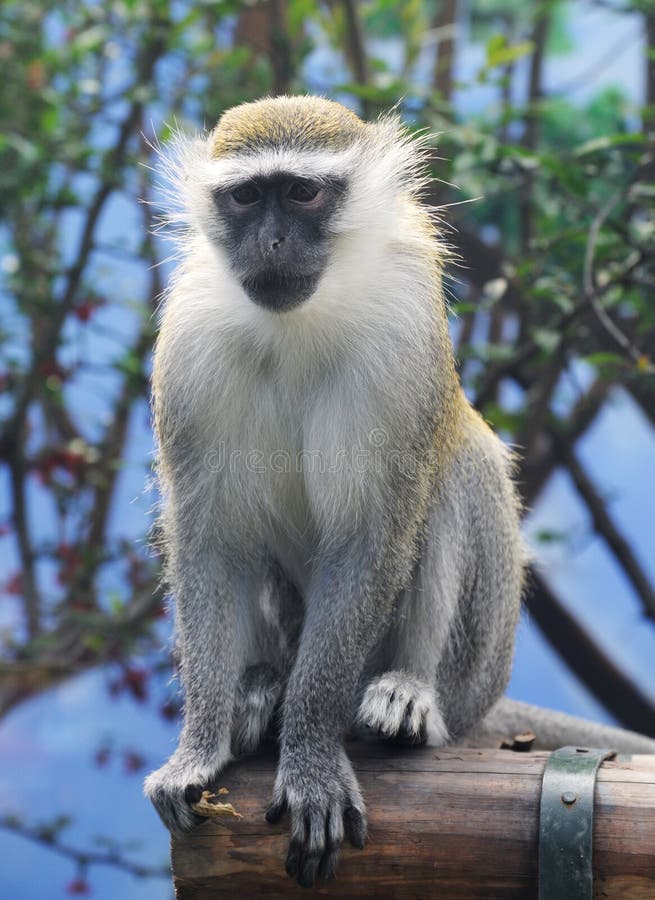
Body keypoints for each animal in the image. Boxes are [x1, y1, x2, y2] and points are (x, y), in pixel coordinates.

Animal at [143, 95, 655, 888]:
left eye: (302, 192)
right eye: (245, 197)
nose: (270, 241)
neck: (297, 325)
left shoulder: (405, 325)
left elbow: (373, 532)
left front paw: (312, 757)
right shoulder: (189, 345)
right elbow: (208, 542)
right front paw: (199, 746)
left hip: (475, 669)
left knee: (456, 469)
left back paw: (404, 698)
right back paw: (259, 686)